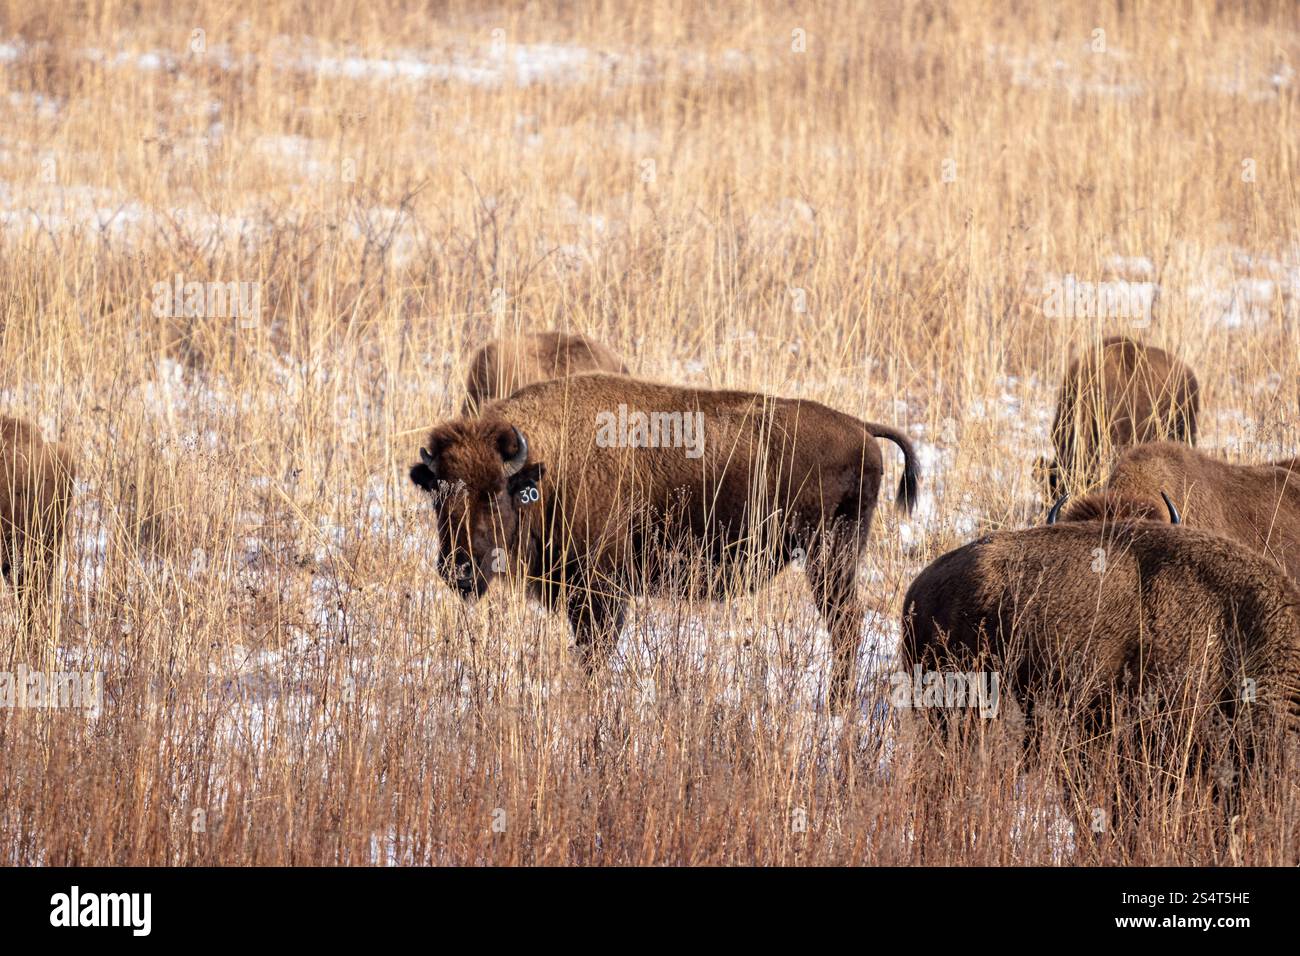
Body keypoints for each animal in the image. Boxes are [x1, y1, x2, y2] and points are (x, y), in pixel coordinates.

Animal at [411, 373, 919, 707]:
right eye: (438, 494)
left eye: (497, 492)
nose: (459, 568)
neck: (547, 465)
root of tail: (860, 428)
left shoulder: (599, 591)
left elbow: (593, 651)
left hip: (828, 555)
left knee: (845, 624)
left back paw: (836, 704)